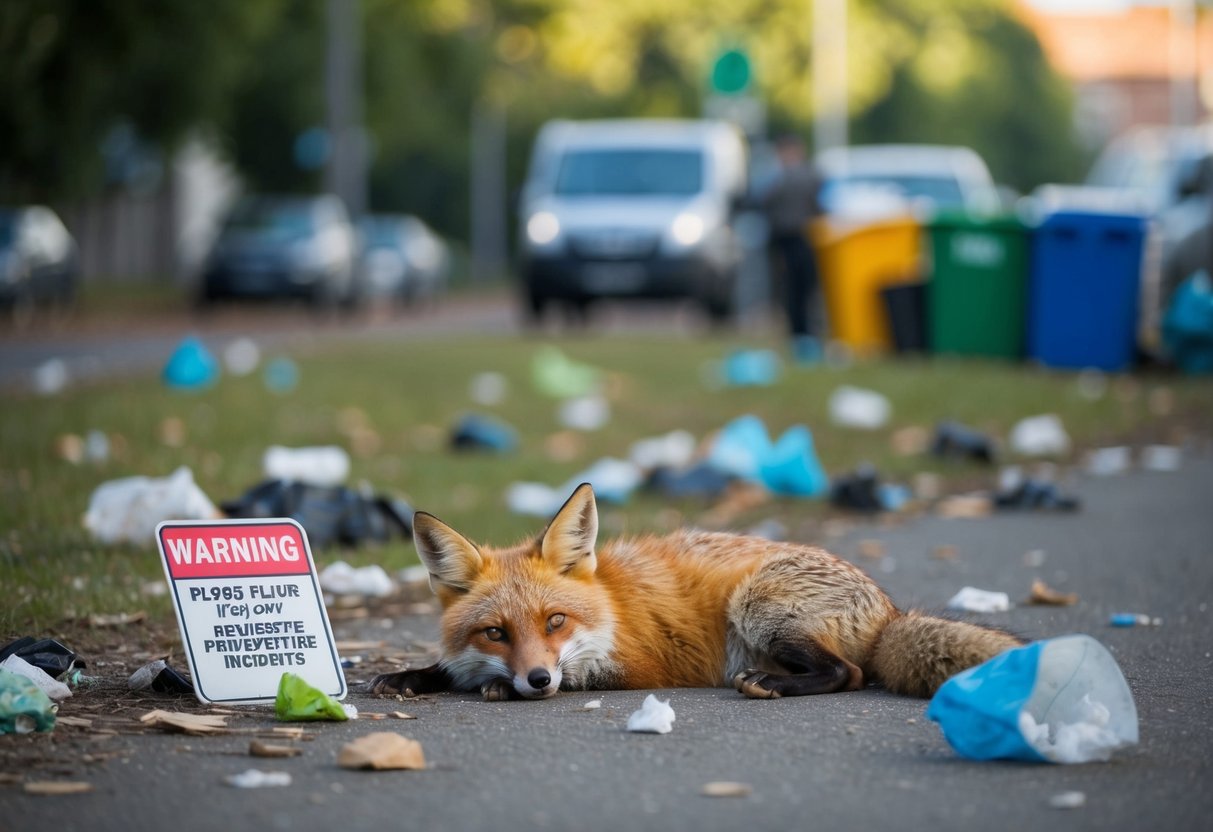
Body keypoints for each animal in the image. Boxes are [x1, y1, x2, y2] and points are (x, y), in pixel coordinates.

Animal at [370, 483, 1022, 701]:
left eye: (555, 621)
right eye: (495, 632)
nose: (536, 679)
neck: (610, 608)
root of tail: (890, 612)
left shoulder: (643, 664)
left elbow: (572, 676)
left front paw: (495, 687)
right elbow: (450, 667)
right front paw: (412, 676)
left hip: (757, 606)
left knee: (851, 673)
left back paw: (773, 684)